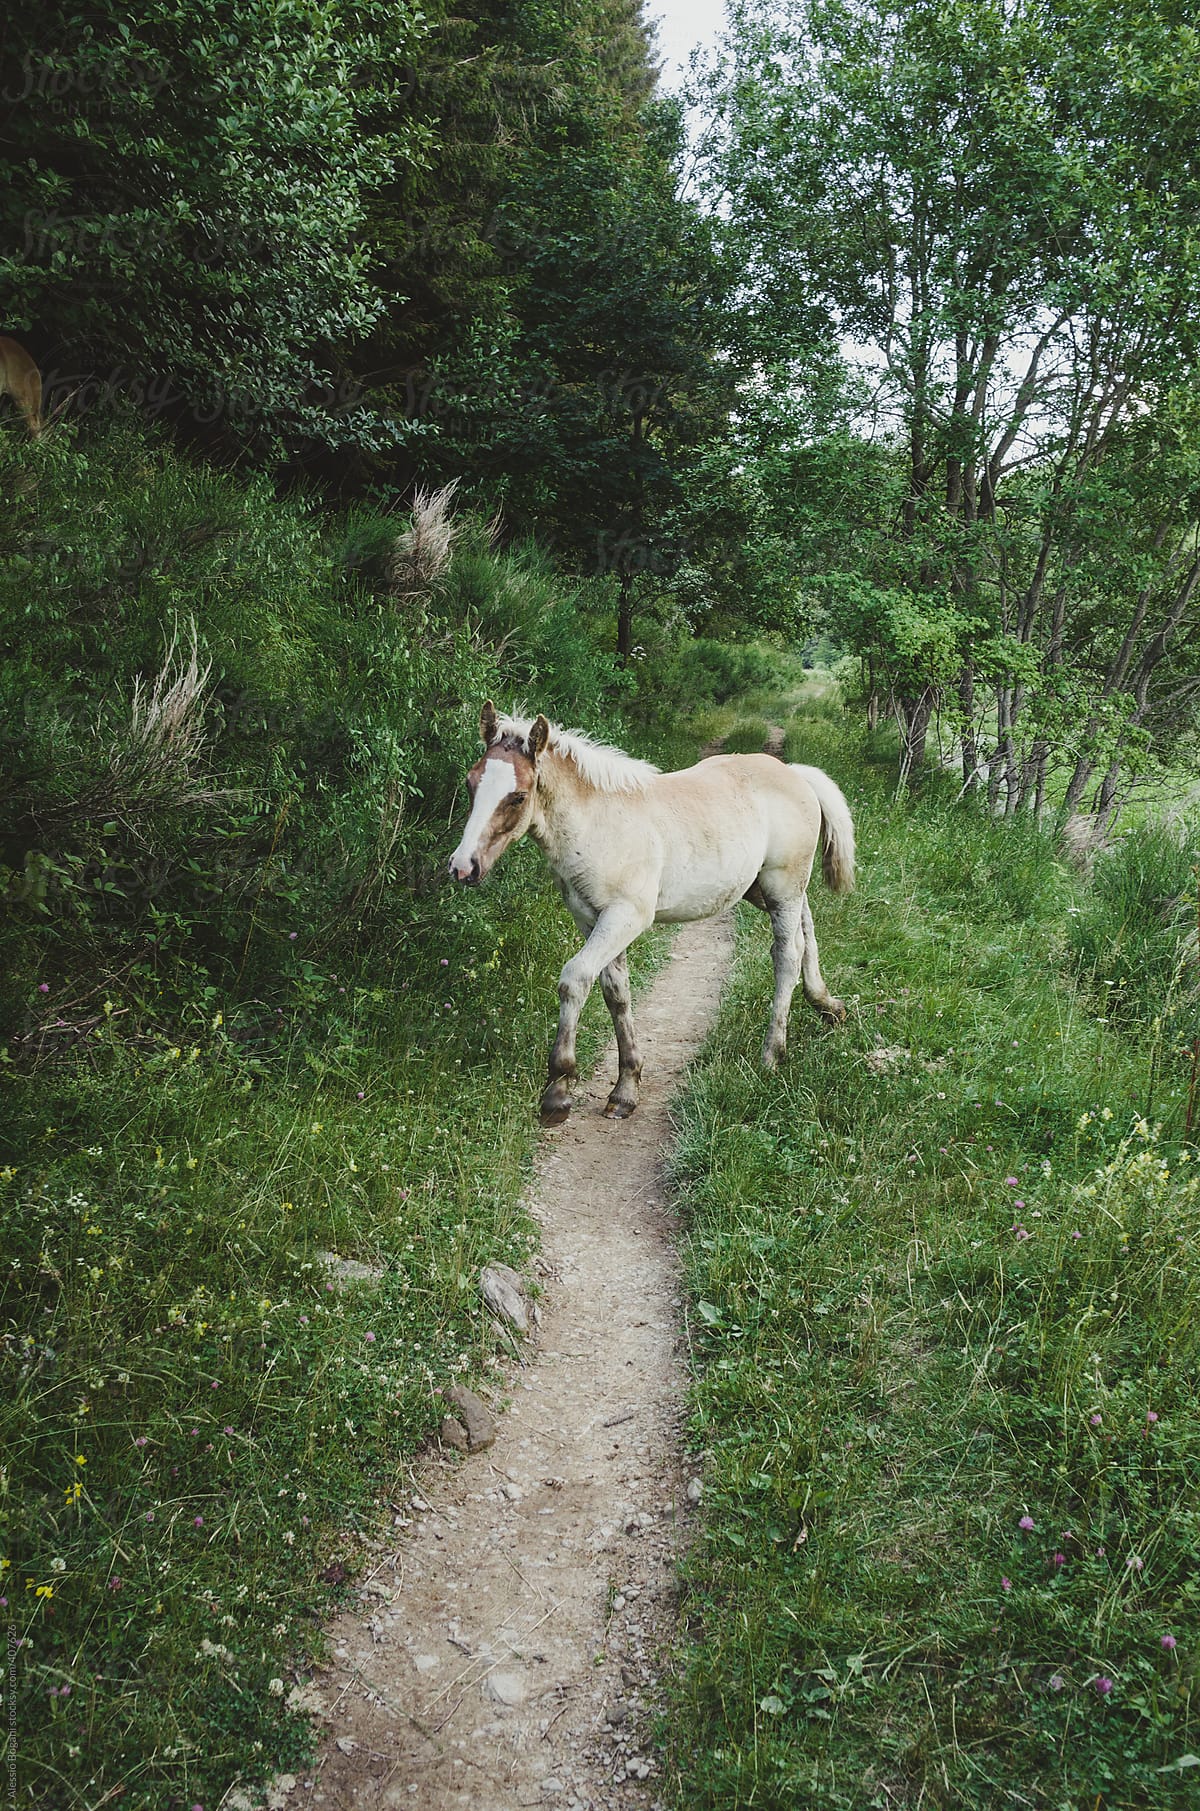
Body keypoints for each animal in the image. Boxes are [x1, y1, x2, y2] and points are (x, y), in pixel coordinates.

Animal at [448, 703, 855, 1124]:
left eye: (517, 796)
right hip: (762, 889)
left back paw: (772, 1055)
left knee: (787, 955)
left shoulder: (627, 916)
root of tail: (795, 773)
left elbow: (575, 979)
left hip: (782, 886)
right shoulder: (590, 918)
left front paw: (557, 1091)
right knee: (806, 928)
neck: (599, 824)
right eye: (470, 783)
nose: (463, 867)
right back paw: (827, 1005)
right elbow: (616, 992)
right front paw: (625, 1089)